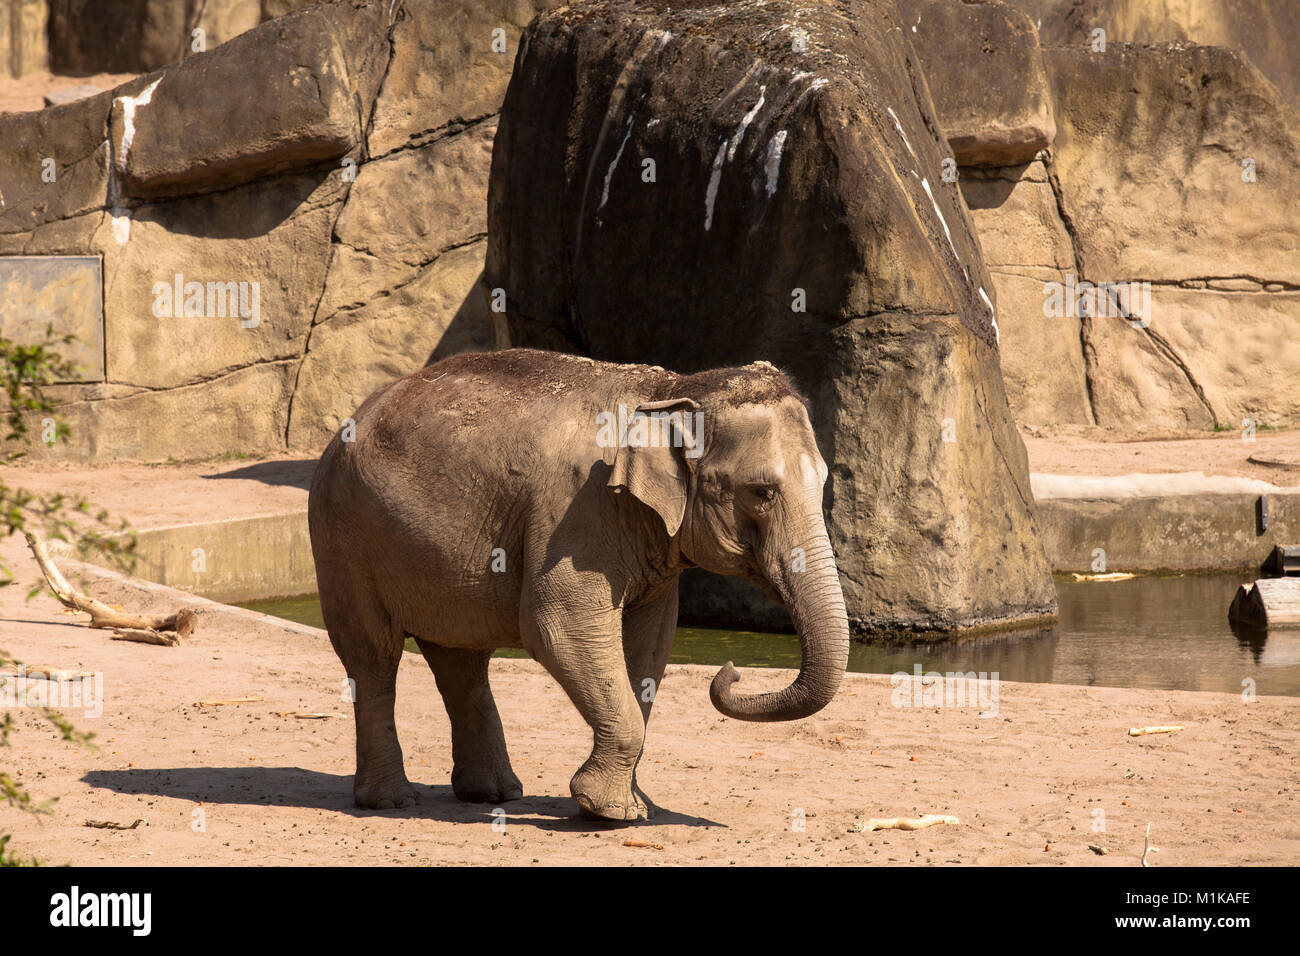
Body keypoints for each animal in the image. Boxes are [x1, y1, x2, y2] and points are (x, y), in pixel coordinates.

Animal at [307, 348, 850, 821]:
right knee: (373, 656)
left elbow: (650, 644)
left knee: (460, 659)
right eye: (761, 492)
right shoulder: (576, 511)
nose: (731, 671)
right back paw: (391, 801)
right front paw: (609, 812)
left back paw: (493, 794)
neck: (671, 390)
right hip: (343, 537)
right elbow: (557, 626)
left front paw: (637, 807)